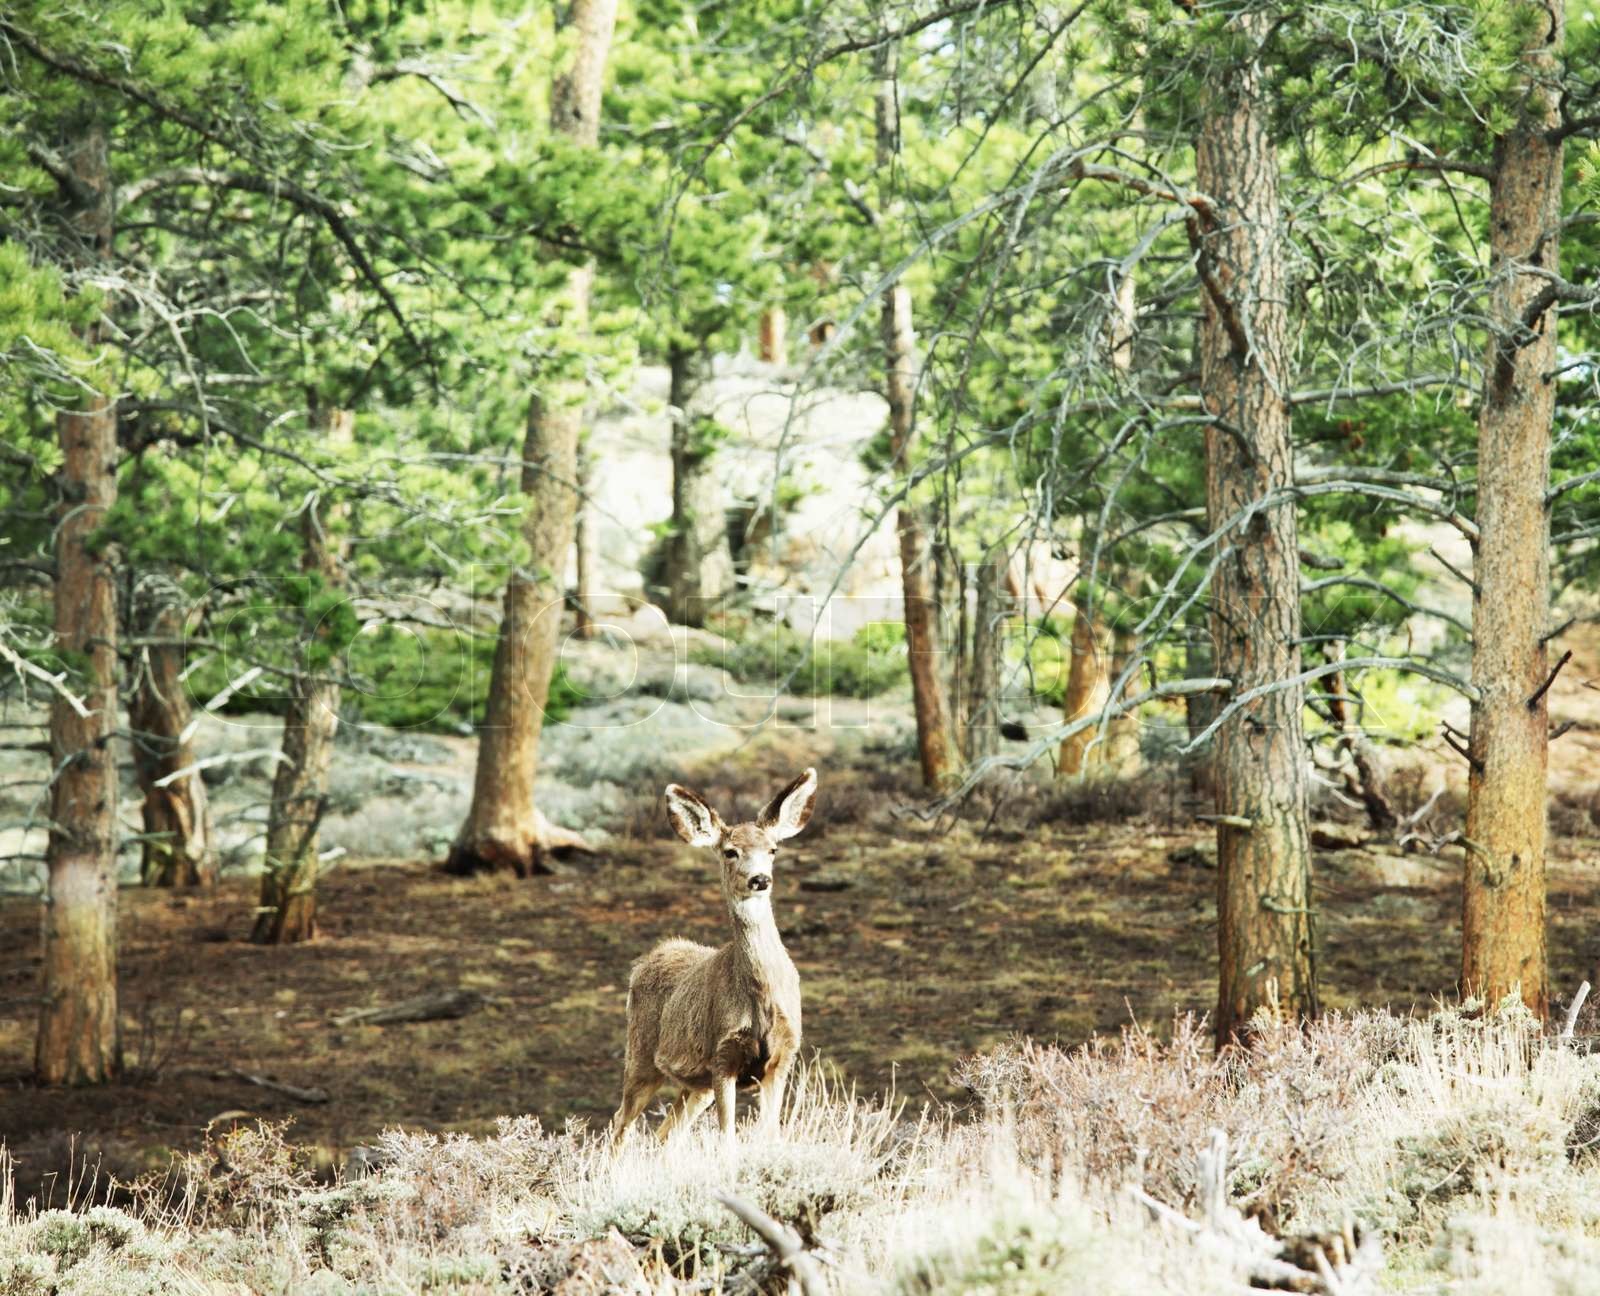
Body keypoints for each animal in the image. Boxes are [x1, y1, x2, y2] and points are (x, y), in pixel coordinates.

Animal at [610, 768, 817, 1148]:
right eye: (730, 851)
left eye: (773, 849)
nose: (760, 879)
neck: (761, 999)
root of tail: (646, 960)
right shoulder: (722, 1056)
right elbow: (727, 1138)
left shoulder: (783, 1056)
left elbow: (769, 1136)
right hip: (642, 1054)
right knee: (622, 1121)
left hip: (695, 1085)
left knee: (666, 1132)